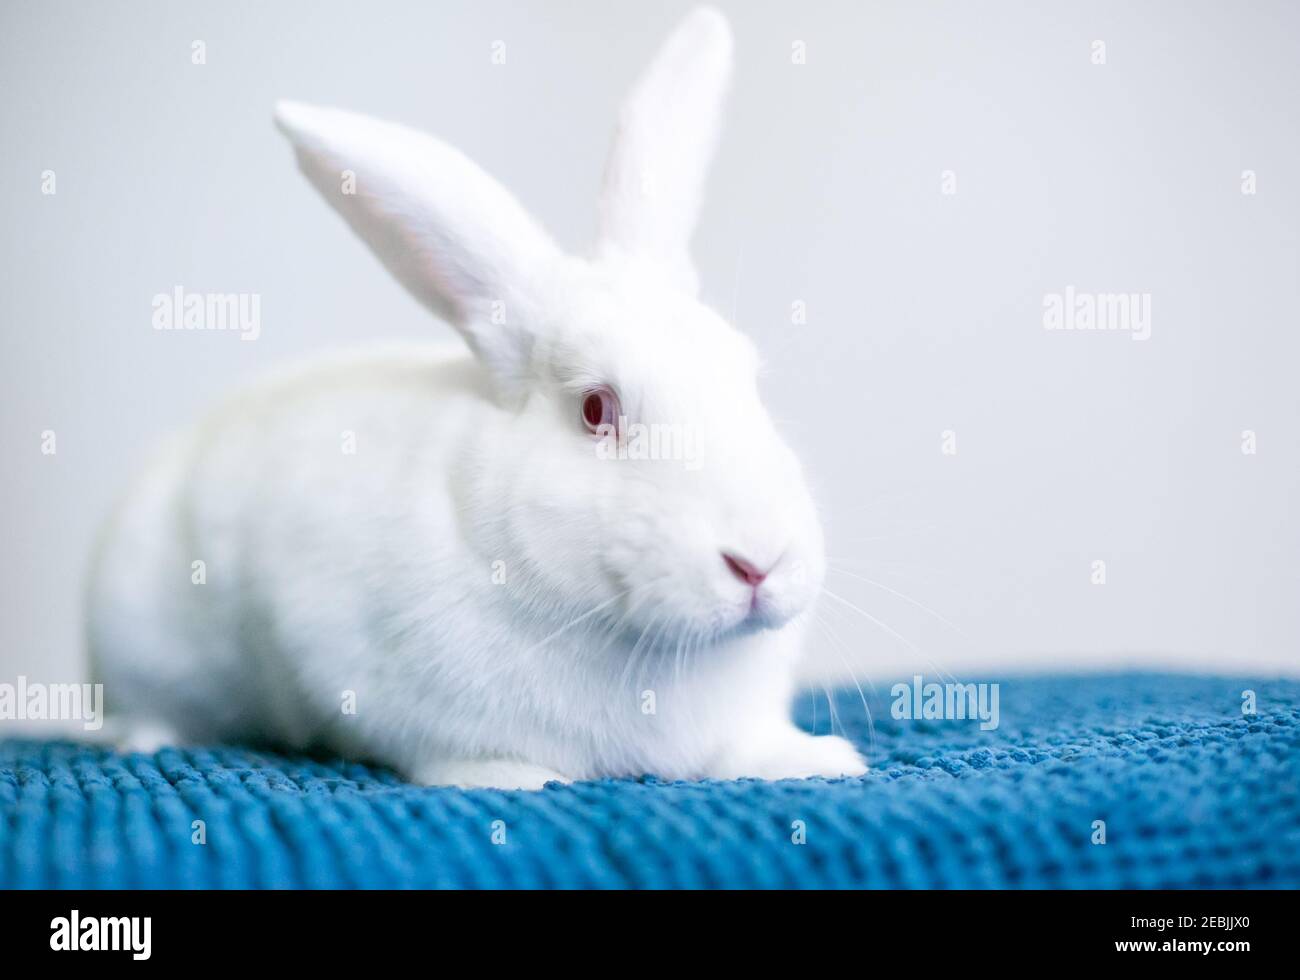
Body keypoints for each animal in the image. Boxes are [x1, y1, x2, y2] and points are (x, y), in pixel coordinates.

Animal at [86, 6, 867, 790]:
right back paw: (149, 739)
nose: (759, 561)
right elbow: (459, 753)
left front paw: (815, 760)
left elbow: (743, 749)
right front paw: (515, 778)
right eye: (596, 409)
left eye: (748, 378)